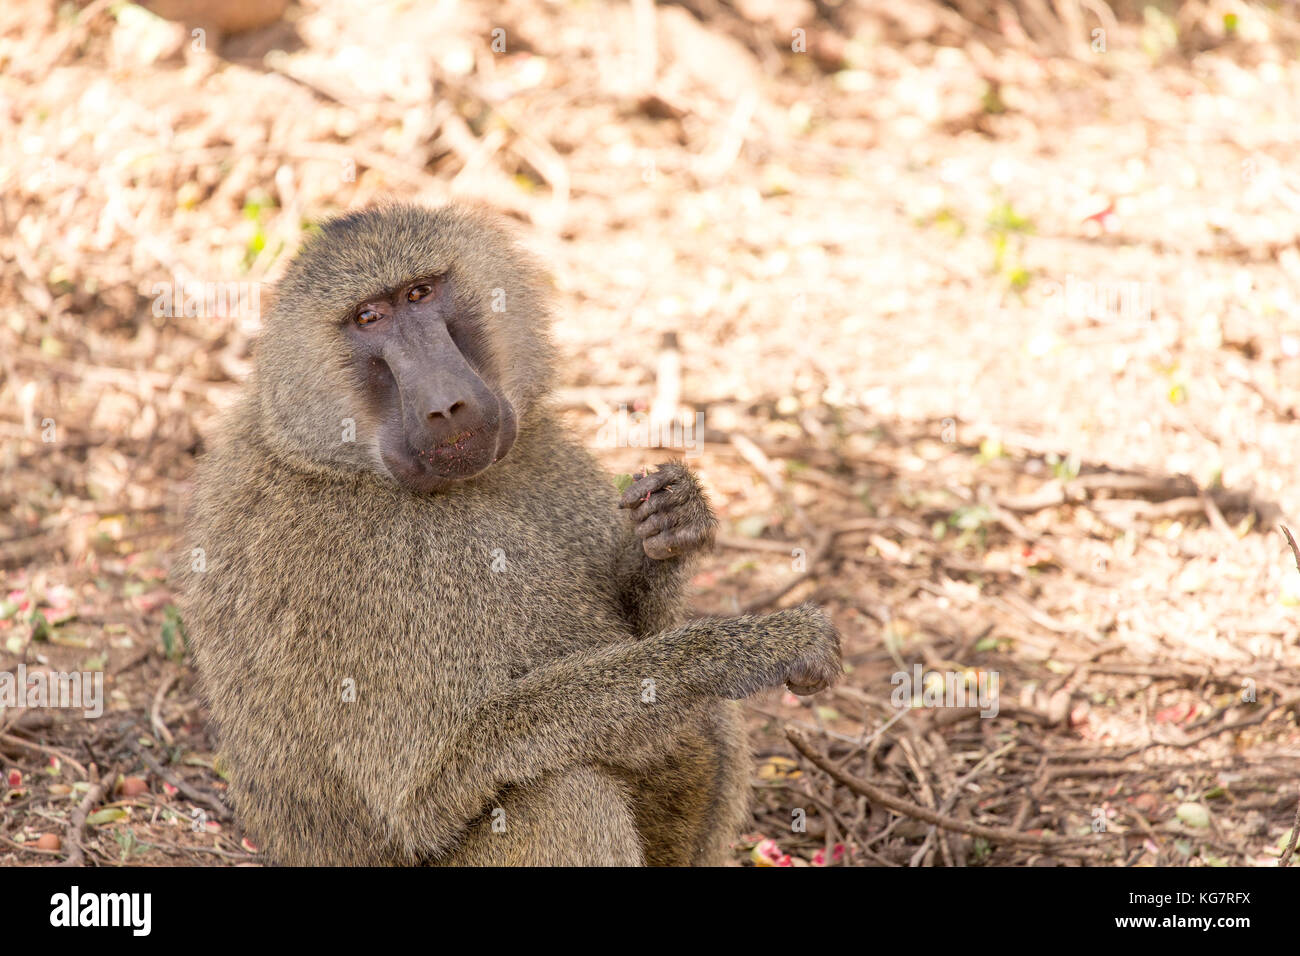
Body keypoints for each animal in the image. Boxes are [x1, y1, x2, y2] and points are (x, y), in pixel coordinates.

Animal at [177, 203, 842, 866]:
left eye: (420, 293)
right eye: (368, 318)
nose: (446, 403)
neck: (343, 463)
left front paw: (674, 520)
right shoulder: (353, 566)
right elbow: (431, 781)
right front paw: (750, 649)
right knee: (567, 799)